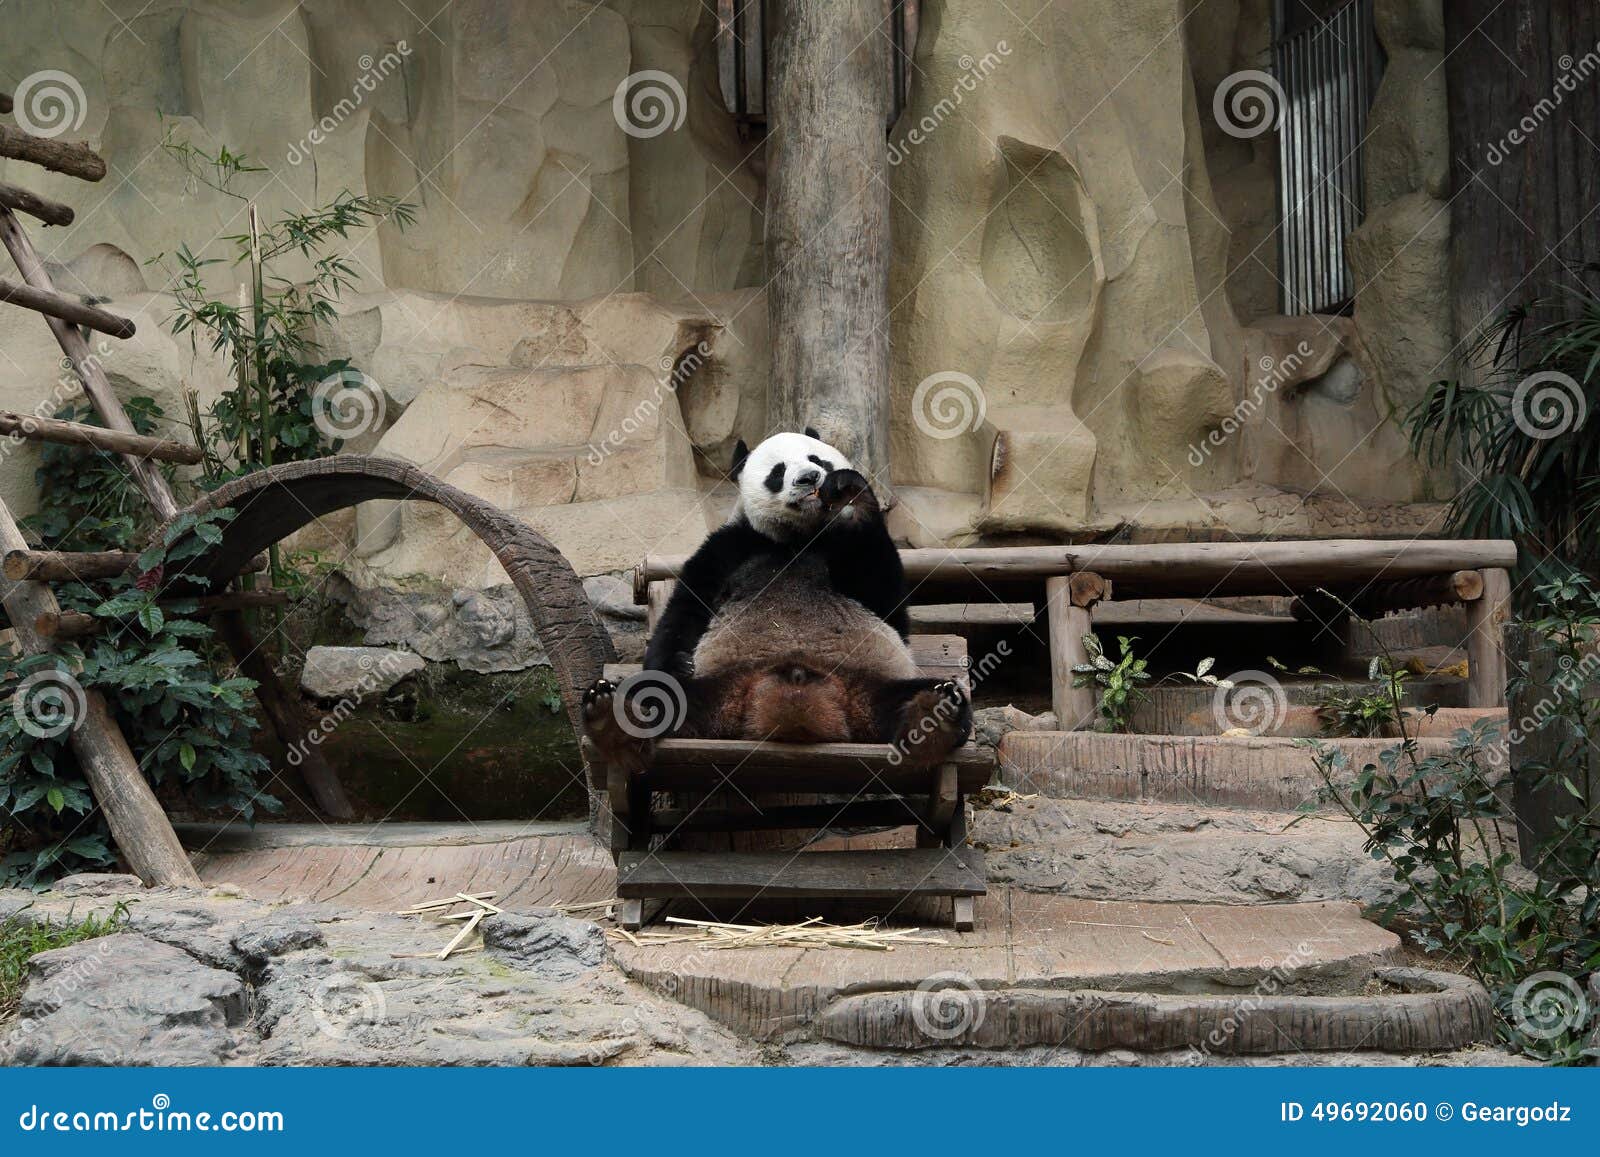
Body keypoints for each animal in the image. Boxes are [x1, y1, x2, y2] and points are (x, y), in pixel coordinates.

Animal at [581, 430, 971, 770]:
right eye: (778, 472)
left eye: (817, 459)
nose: (810, 478)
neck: (798, 538)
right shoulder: (731, 547)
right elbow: (684, 612)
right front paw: (678, 660)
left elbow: (886, 601)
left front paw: (850, 494)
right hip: (722, 688)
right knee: (660, 696)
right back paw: (611, 716)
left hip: (868, 687)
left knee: (924, 697)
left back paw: (934, 717)